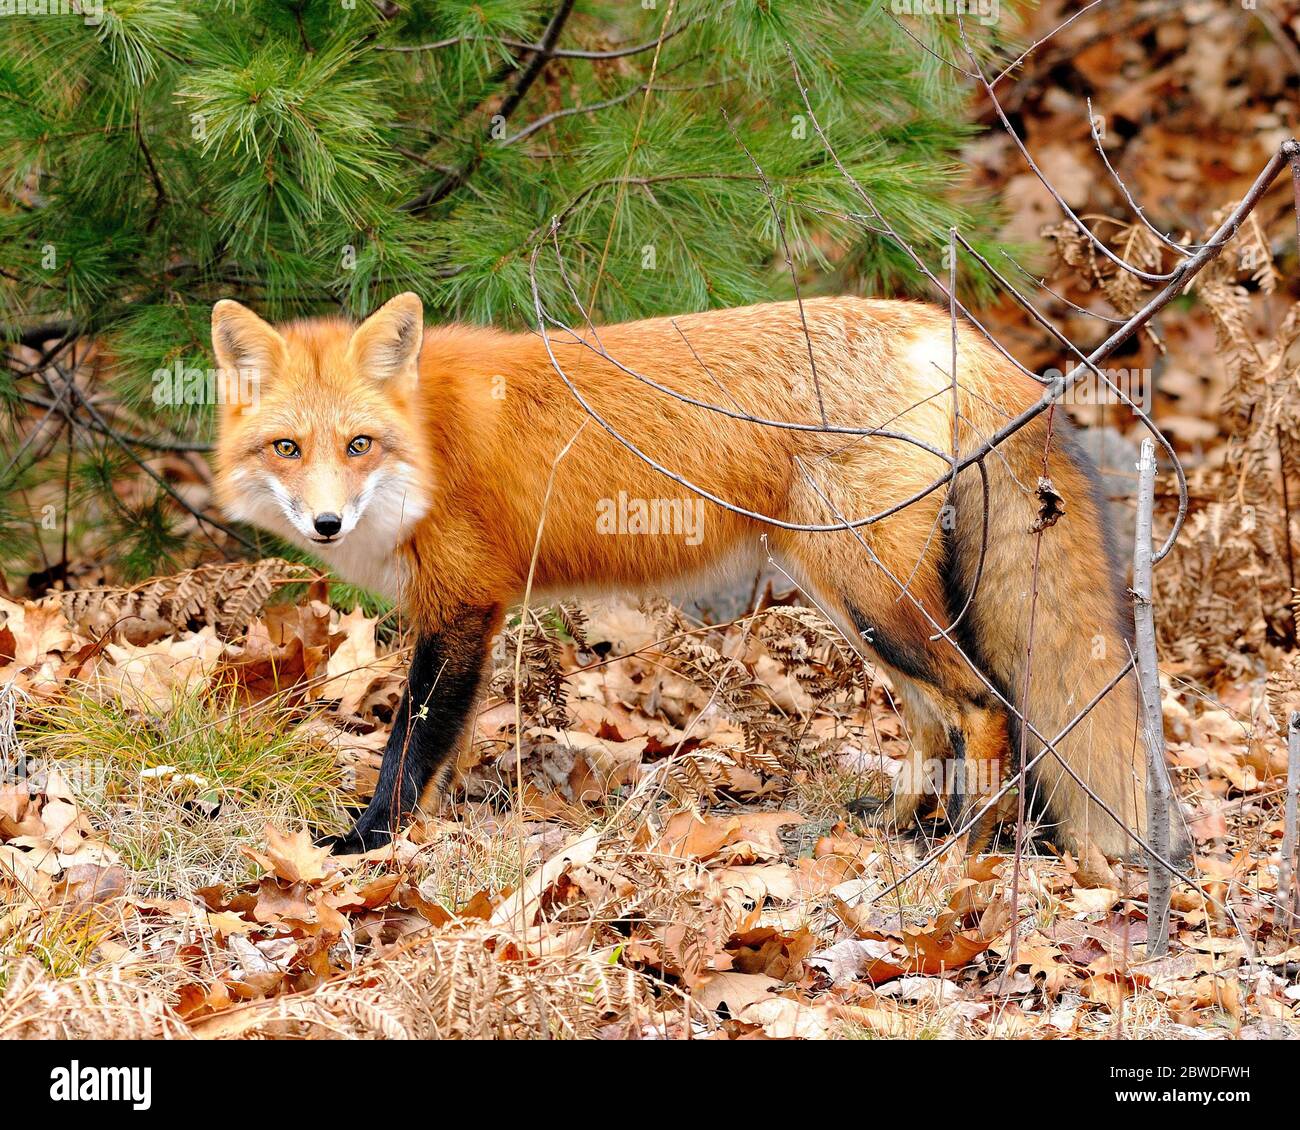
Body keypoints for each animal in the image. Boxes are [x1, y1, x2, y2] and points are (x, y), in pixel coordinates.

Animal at [211, 292, 1182, 860]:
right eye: (287, 448)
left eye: (358, 445)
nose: (326, 522)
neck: (428, 448)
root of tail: (951, 330)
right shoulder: (464, 617)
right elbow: (445, 748)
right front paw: (432, 831)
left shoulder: (461, 604)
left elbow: (410, 747)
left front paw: (368, 841)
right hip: (850, 592)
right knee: (931, 717)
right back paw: (899, 828)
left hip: (865, 588)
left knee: (983, 706)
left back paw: (962, 858)